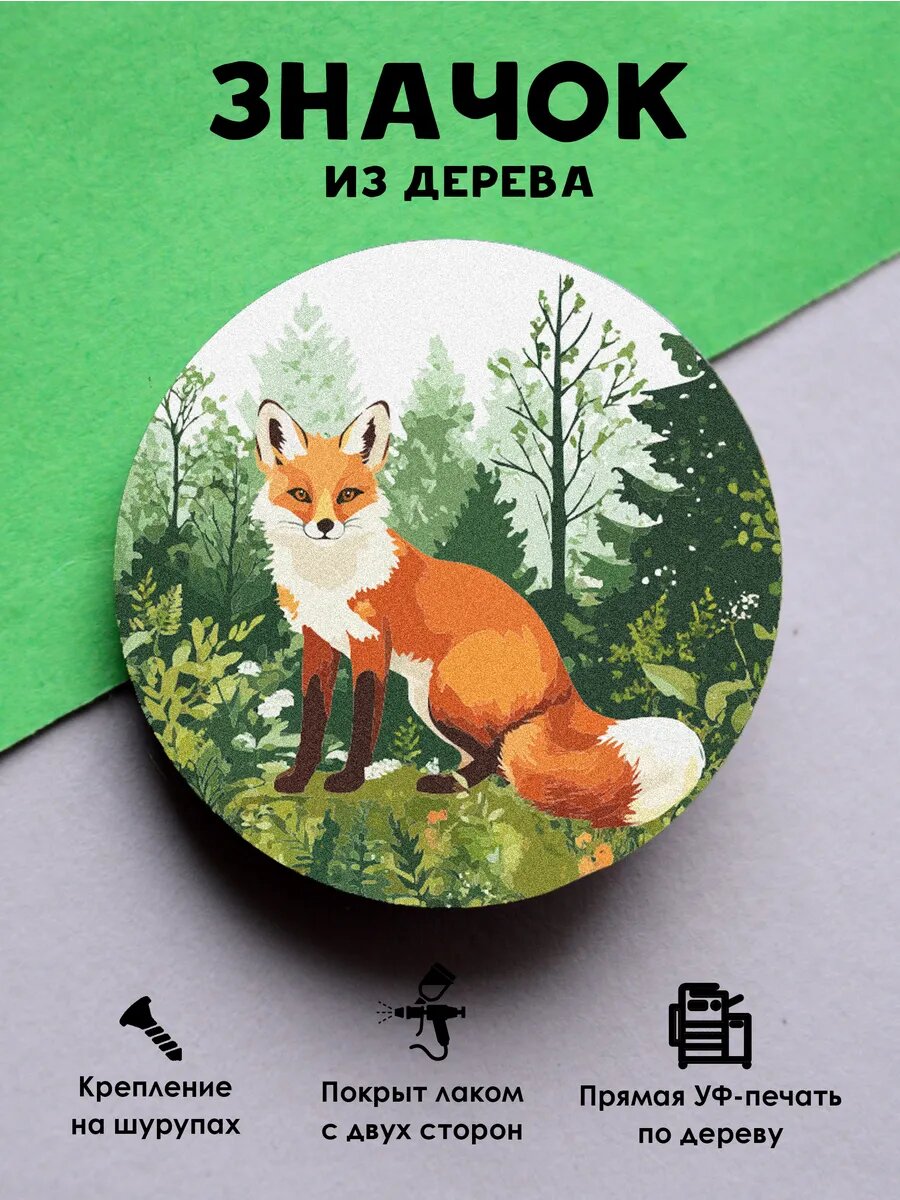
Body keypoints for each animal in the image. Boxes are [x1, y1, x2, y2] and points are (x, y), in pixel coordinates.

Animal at [252, 399, 705, 827]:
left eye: (347, 495)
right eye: (301, 495)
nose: (325, 526)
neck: (328, 578)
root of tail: (563, 682)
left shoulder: (371, 643)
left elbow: (363, 723)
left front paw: (349, 780)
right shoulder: (317, 641)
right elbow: (312, 721)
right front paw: (298, 778)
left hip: (443, 697)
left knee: (495, 753)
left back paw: (445, 784)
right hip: (426, 700)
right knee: (492, 759)